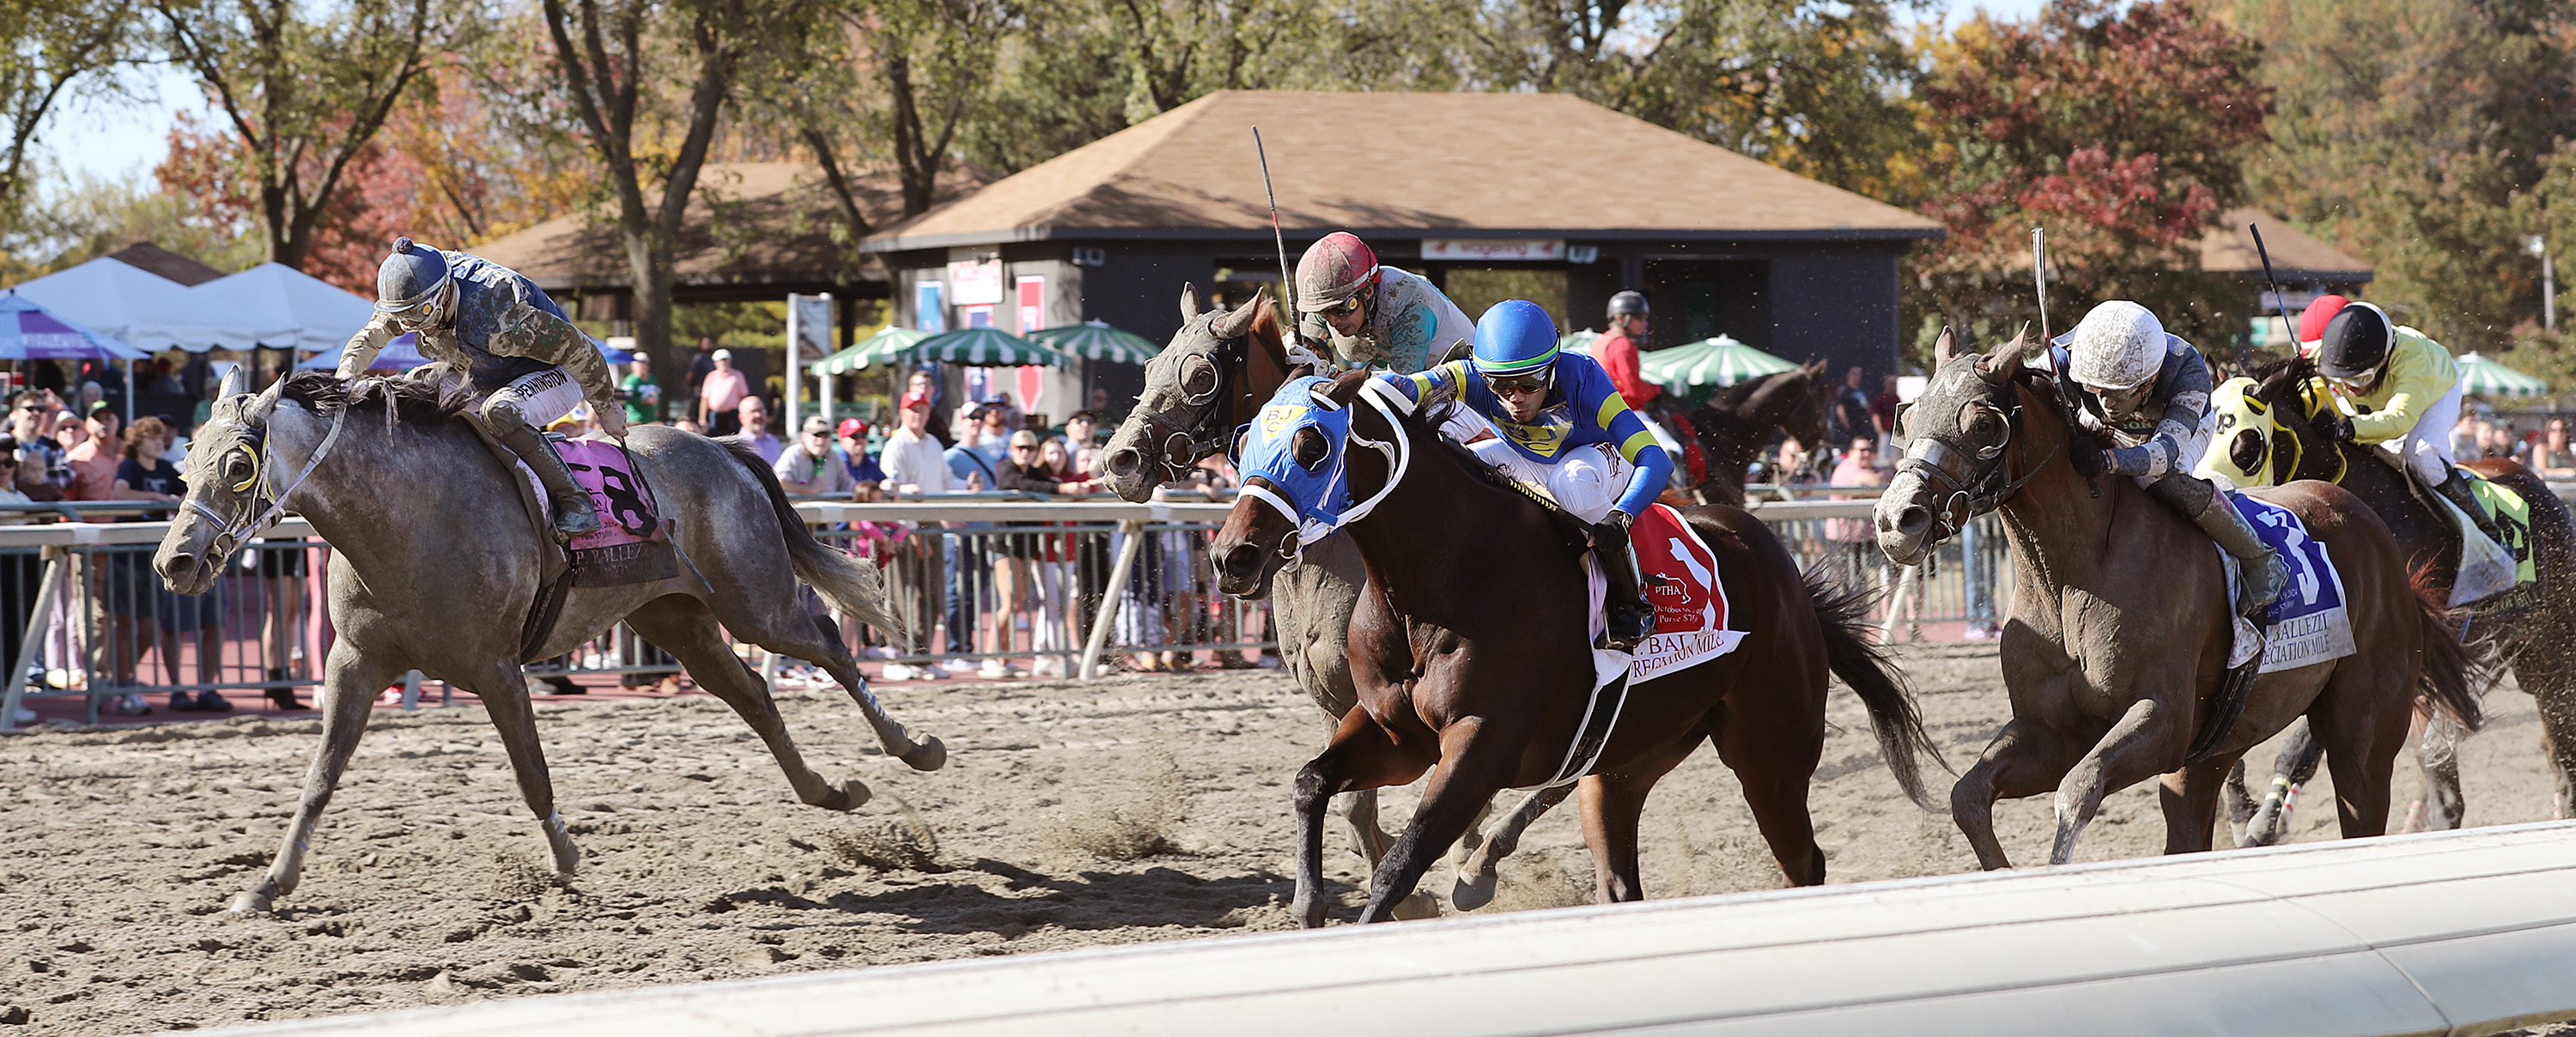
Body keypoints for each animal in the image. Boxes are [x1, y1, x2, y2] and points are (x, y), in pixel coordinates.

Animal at [155, 367, 946, 914]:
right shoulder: (355, 661)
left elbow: (531, 772)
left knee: (830, 644)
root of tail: (723, 448)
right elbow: (320, 778)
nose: (173, 563)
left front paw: (565, 859)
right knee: (753, 693)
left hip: (755, 602)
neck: (406, 517)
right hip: (677, 620)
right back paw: (830, 792)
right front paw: (267, 884)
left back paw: (915, 748)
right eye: (184, 462)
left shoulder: (495, 666)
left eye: (238, 466)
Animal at [1872, 330, 2476, 868]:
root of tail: (2375, 531)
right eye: (1910, 414)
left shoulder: (2161, 721)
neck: (2071, 574)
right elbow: (1969, 798)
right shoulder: (2049, 731)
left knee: (2361, 802)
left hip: (2363, 736)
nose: (1897, 519)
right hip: (2213, 750)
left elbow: (2077, 789)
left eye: (1982, 423)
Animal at [2211, 356, 2576, 838]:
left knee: (2561, 744)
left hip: (2550, 656)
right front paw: (2240, 810)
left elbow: (2301, 748)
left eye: (2246, 447)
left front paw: (2263, 822)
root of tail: (2545, 491)